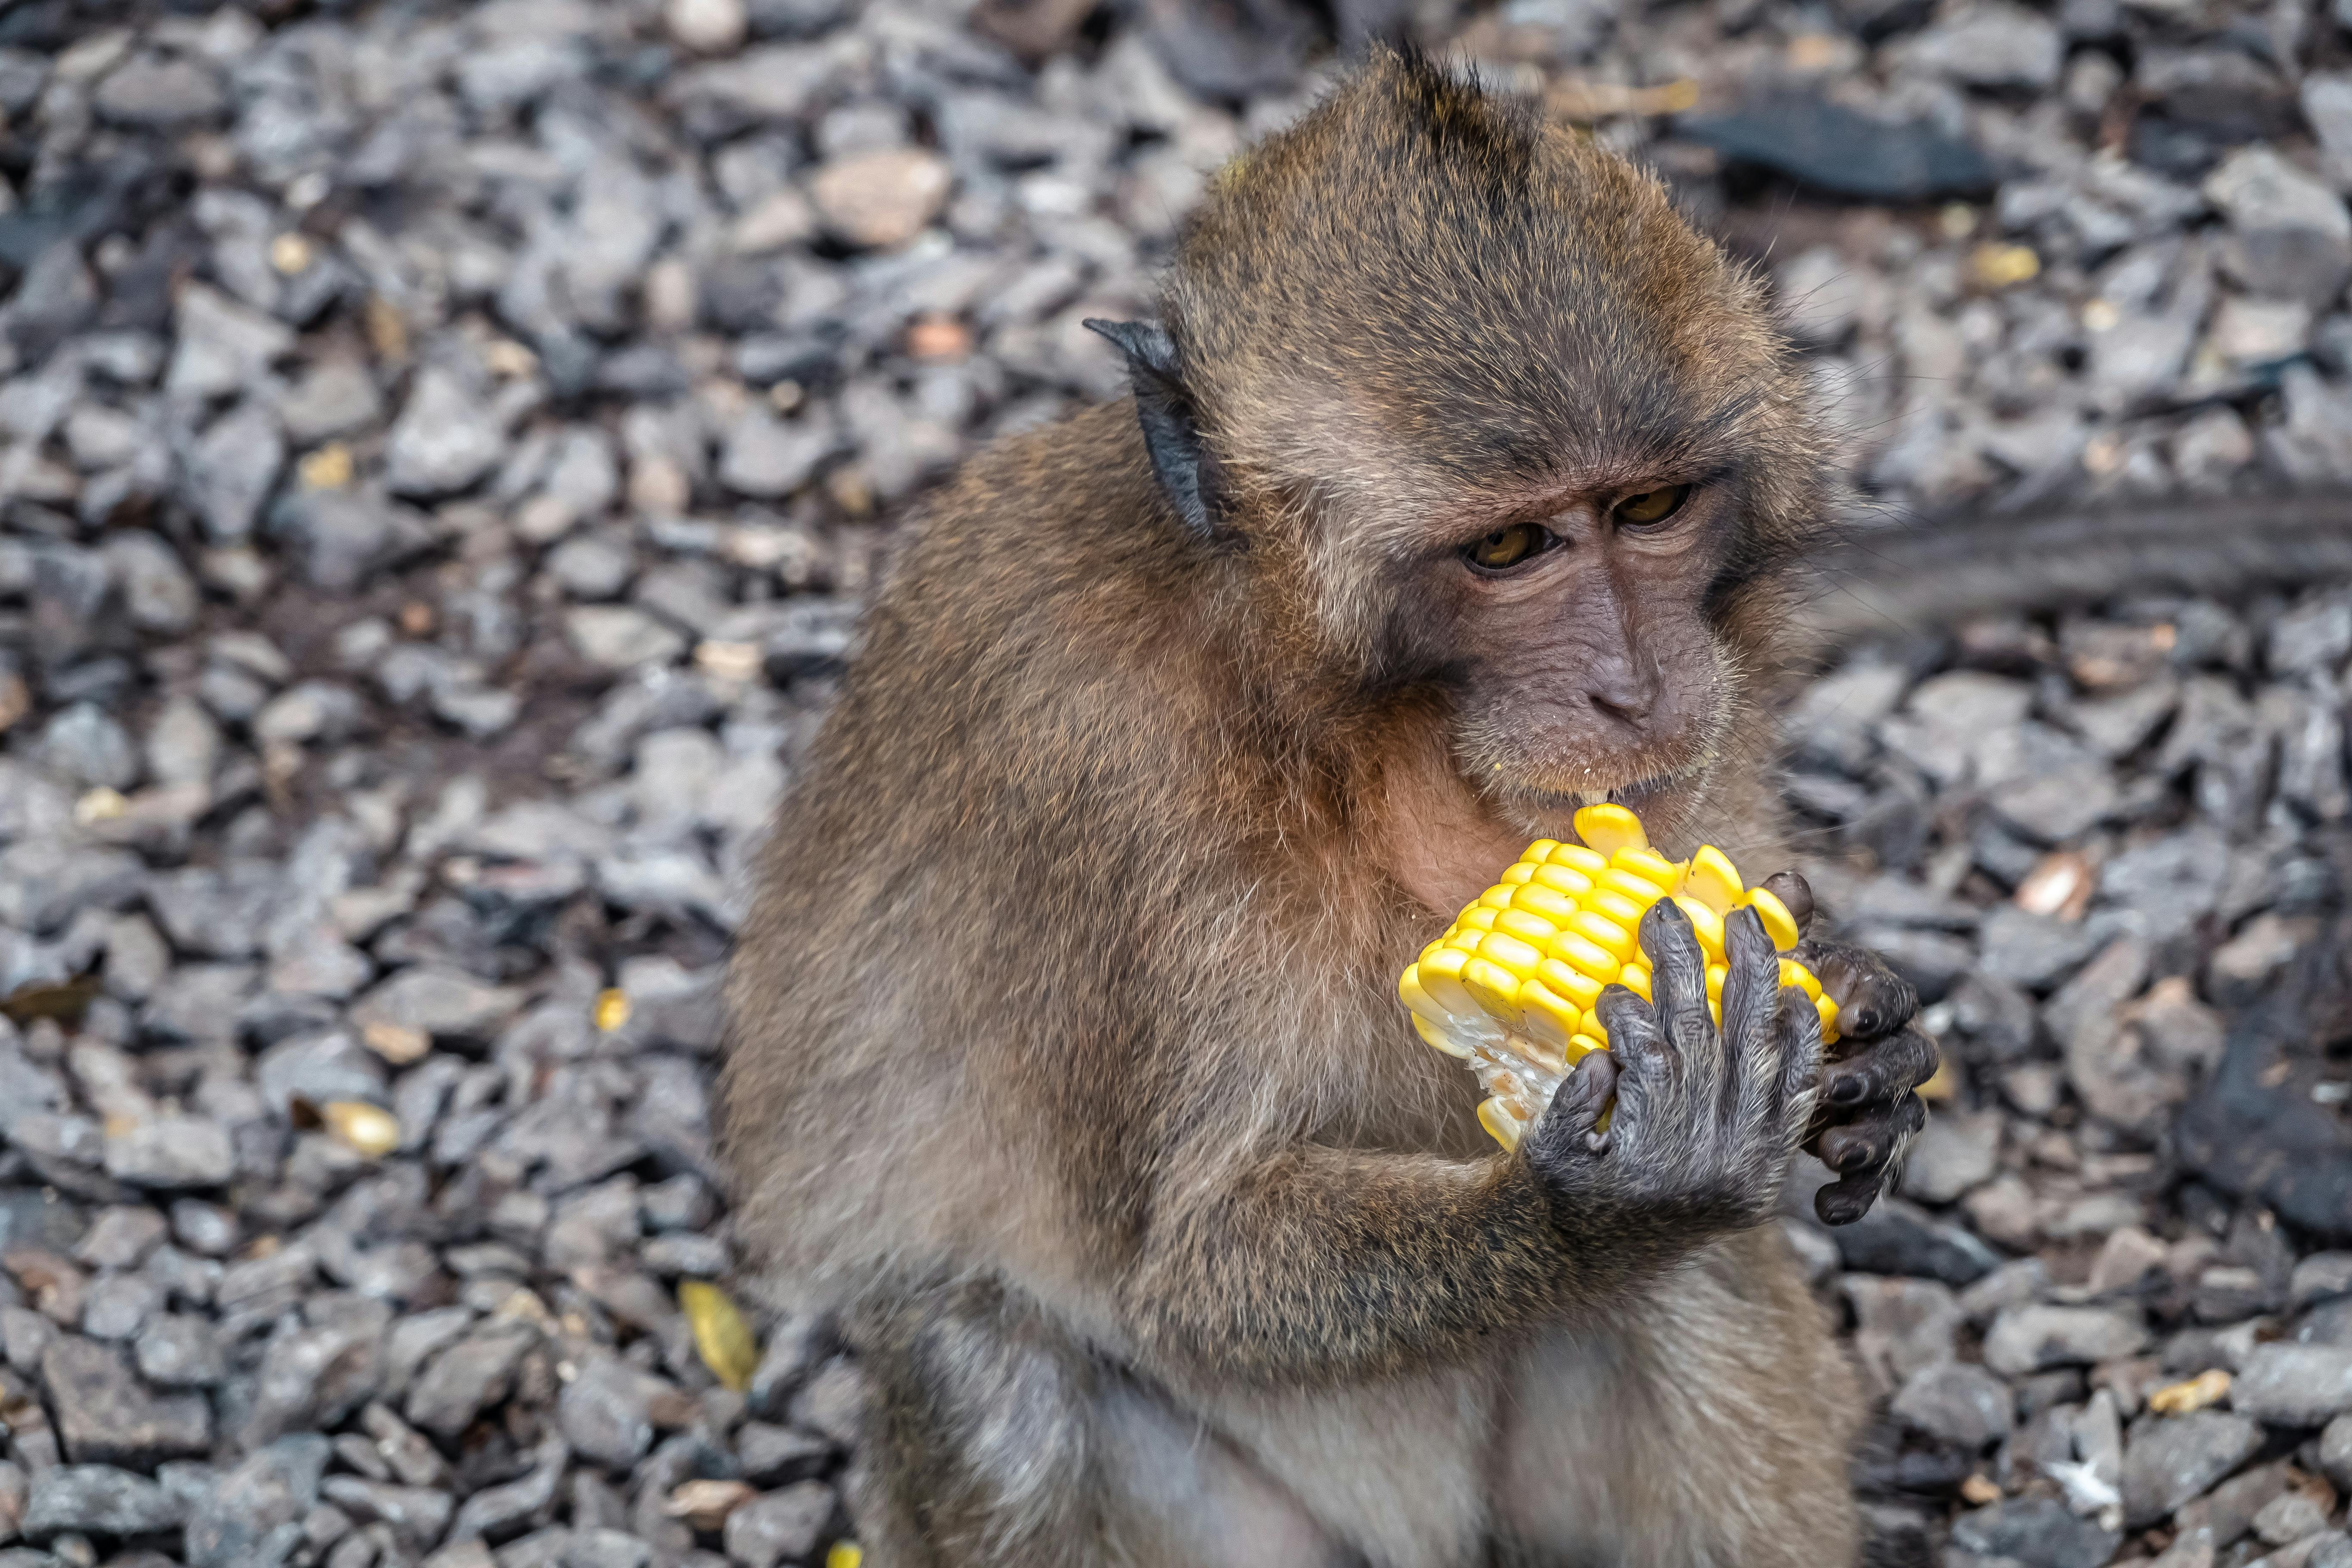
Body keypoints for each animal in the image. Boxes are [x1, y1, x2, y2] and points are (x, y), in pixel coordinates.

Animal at [721, 45, 1939, 1568]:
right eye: (1511, 547)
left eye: (1649, 509)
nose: (1635, 684)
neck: (1360, 737)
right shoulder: (1103, 791)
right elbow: (1189, 1261)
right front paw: (1617, 1194)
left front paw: (1864, 1029)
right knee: (981, 1363)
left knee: (1696, 1294)